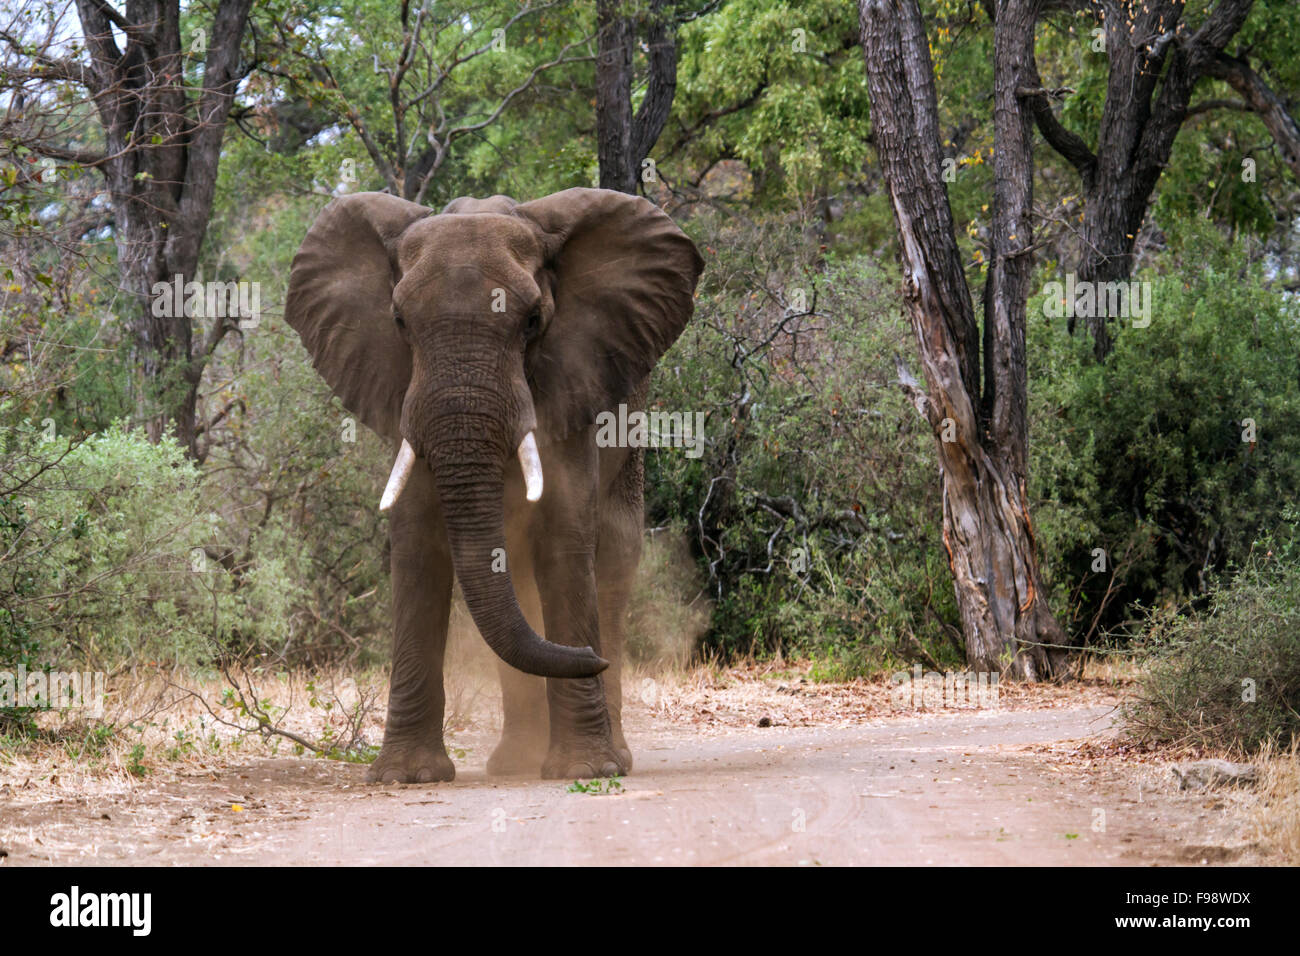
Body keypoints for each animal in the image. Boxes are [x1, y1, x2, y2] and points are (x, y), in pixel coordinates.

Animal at [284, 187, 704, 783]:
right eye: (399, 321)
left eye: (532, 321)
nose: (589, 659)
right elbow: (417, 546)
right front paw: (405, 777)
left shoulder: (572, 383)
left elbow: (566, 542)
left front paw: (584, 770)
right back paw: (516, 762)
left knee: (615, 559)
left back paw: (608, 757)